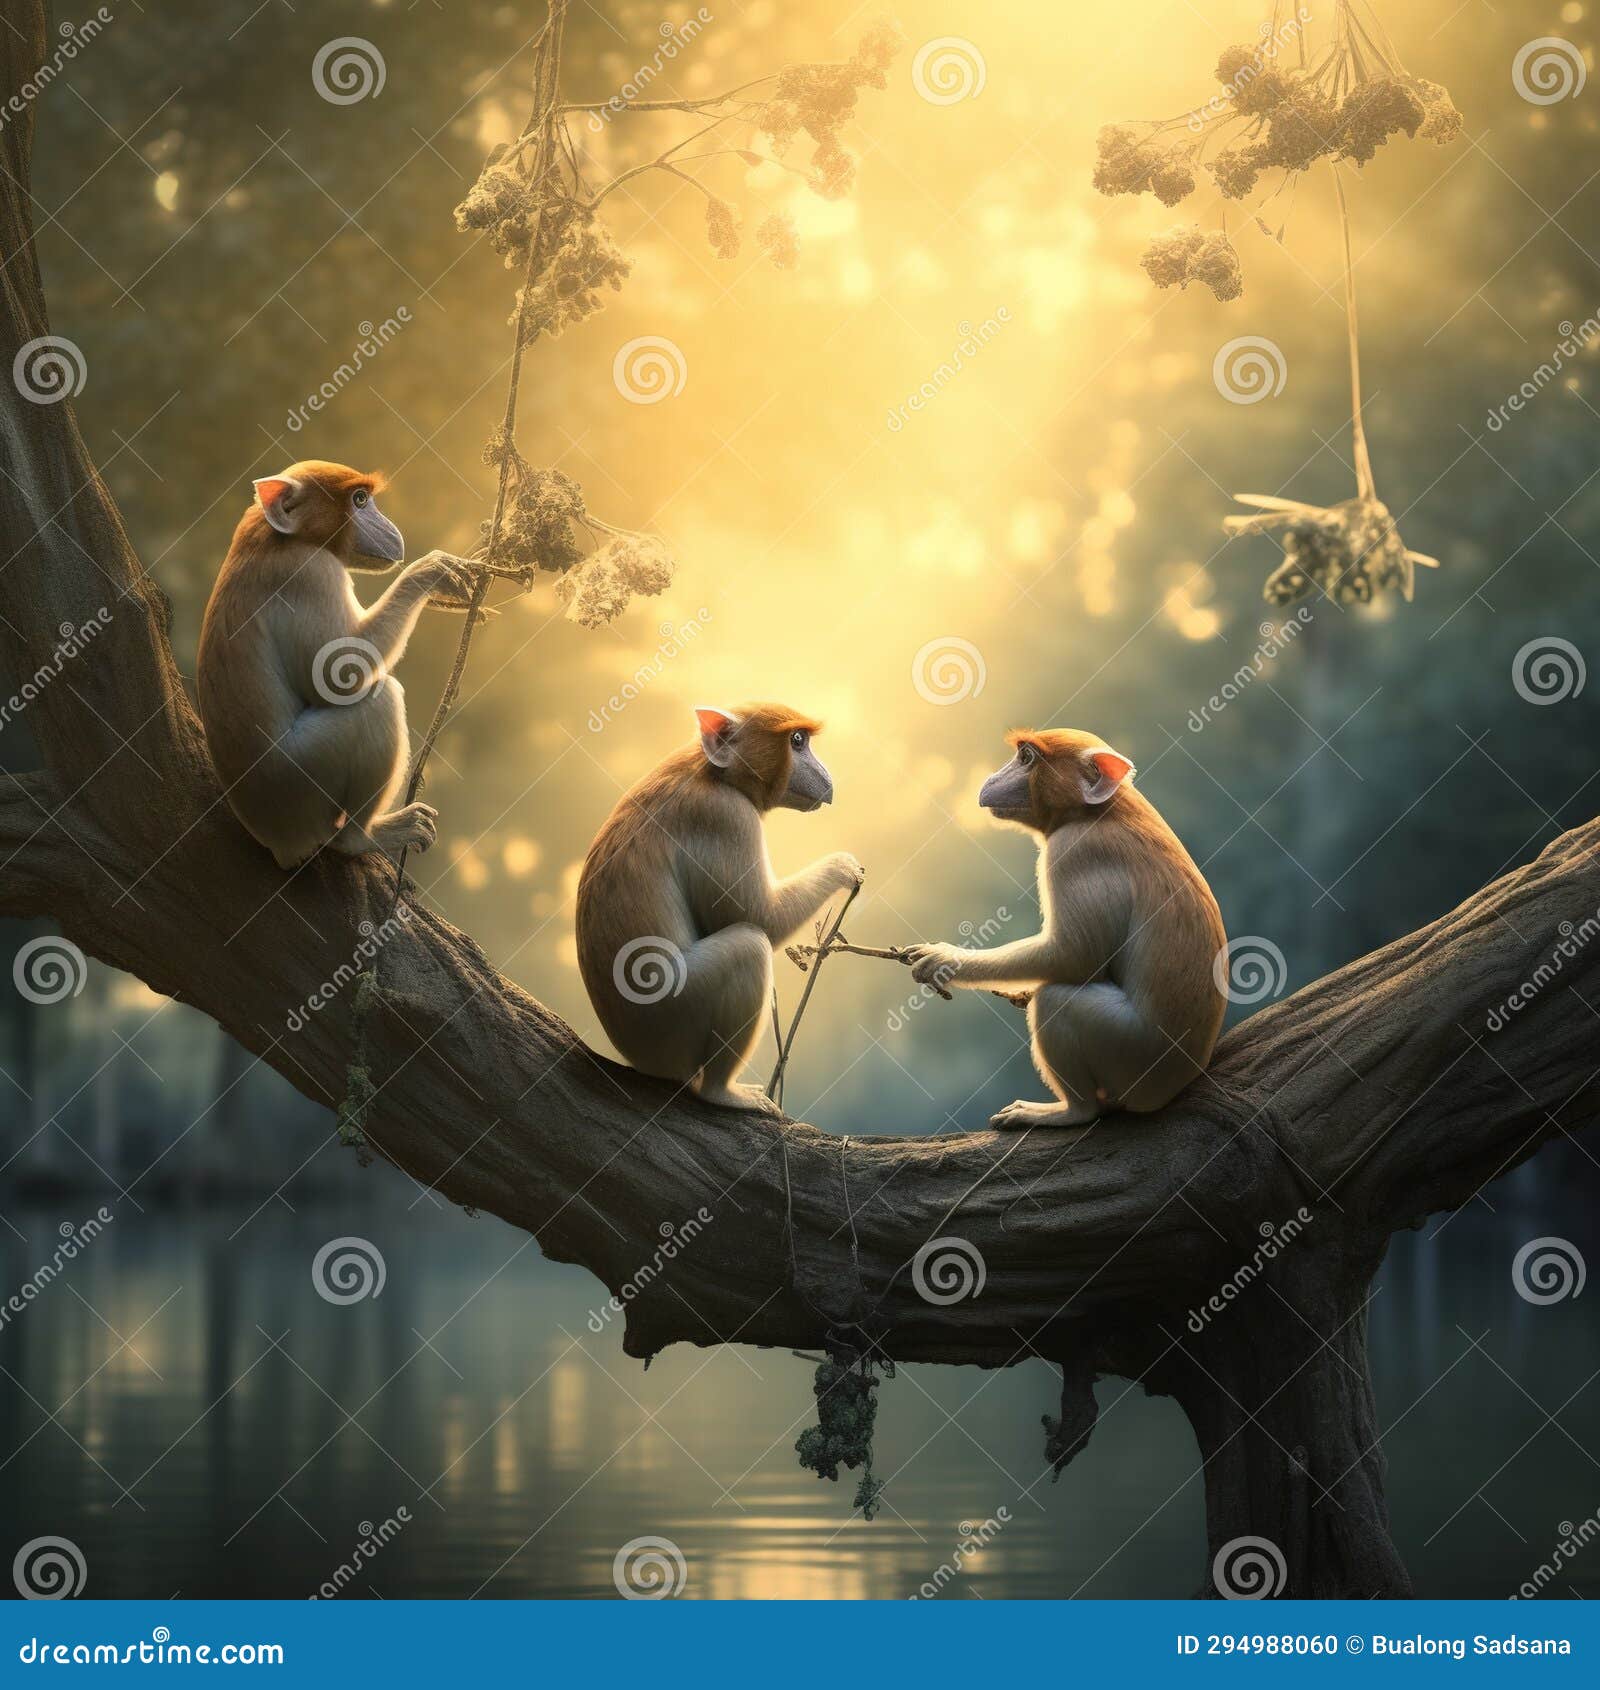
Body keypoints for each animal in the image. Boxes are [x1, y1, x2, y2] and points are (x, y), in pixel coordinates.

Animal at [196, 460, 470, 872]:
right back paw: (361, 837)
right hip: (302, 780)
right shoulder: (311, 573)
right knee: (377, 701)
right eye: (359, 500)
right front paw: (430, 573)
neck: (281, 536)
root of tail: (276, 841)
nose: (390, 530)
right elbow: (339, 675)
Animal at [576, 703, 864, 1115]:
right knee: (748, 948)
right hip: (676, 1014)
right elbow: (760, 918)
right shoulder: (725, 816)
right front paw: (843, 867)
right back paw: (722, 1092)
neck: (712, 773)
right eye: (797, 741)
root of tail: (639, 1056)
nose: (827, 777)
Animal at [906, 728, 1226, 1130]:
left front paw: (944, 960)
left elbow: (1073, 956)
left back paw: (1071, 1111)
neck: (1104, 810)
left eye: (1026, 758)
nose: (992, 780)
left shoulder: (1074, 850)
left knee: (1059, 1001)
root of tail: (1178, 1081)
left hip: (1128, 1052)